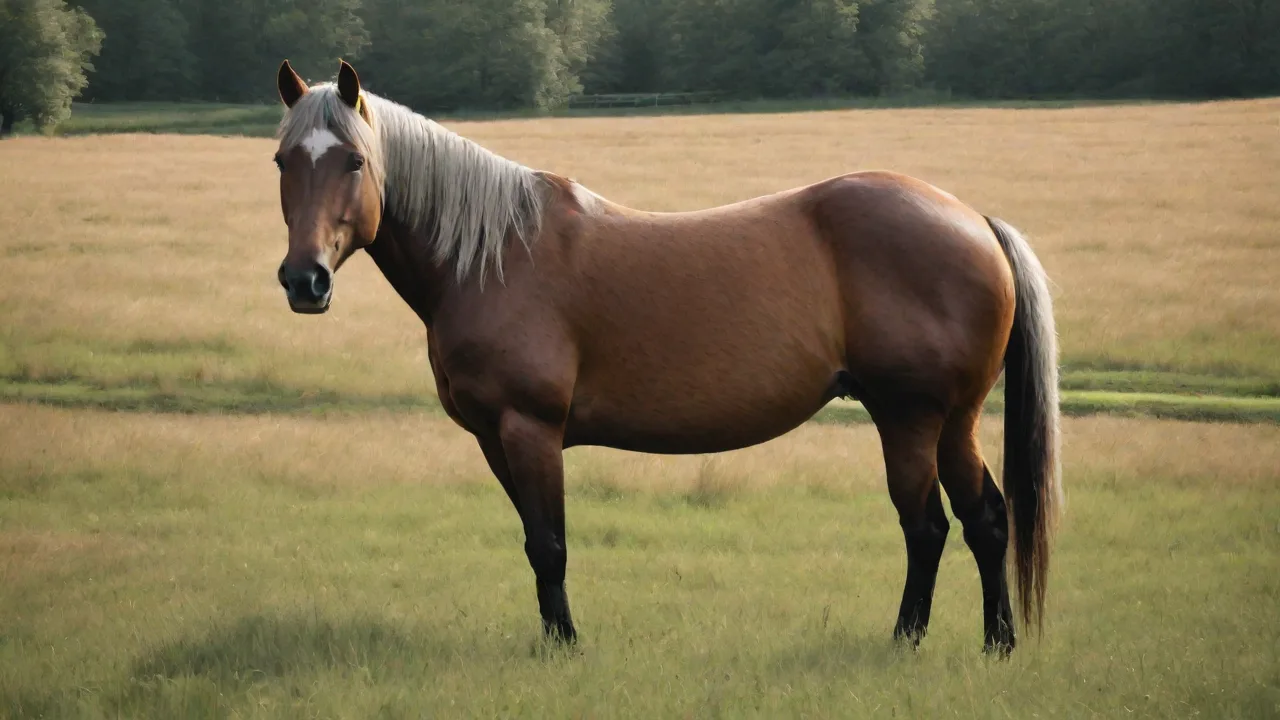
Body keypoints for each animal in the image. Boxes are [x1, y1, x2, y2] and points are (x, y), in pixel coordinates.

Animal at [269, 59, 1062, 655]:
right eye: (282, 160)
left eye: (354, 160)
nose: (304, 281)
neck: (492, 257)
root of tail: (974, 222)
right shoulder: (495, 439)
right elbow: (533, 540)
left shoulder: (530, 428)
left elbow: (550, 544)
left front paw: (566, 648)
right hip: (954, 421)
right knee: (987, 519)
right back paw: (997, 643)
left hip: (909, 418)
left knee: (926, 527)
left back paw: (905, 641)